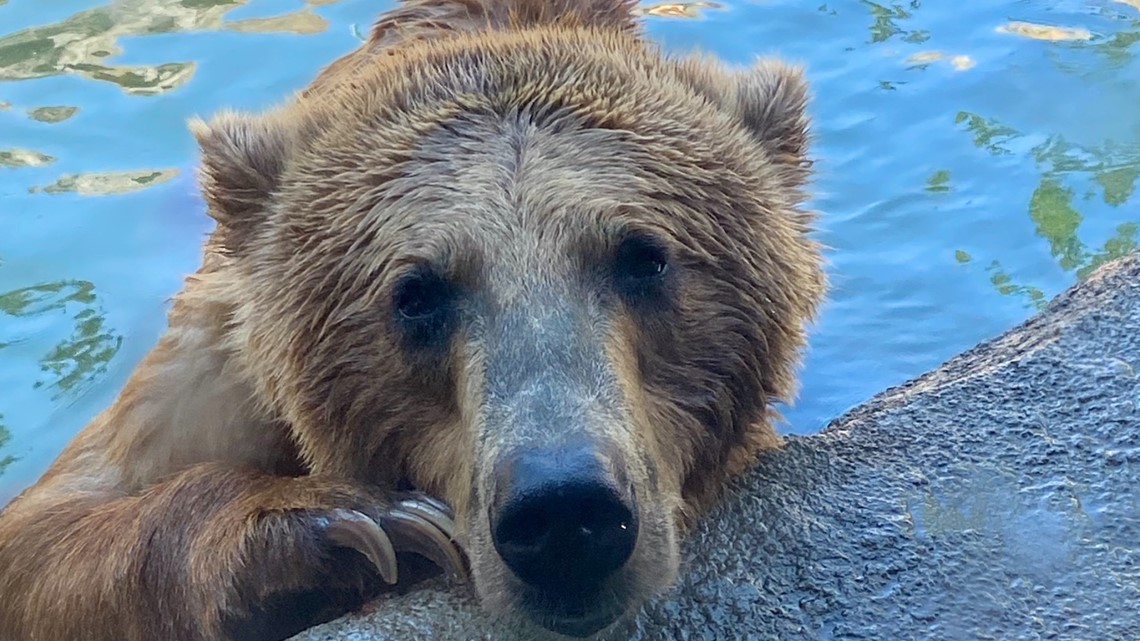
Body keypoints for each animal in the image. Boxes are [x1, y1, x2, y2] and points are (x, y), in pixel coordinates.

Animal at [0, 0, 826, 639]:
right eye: (416, 292)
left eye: (643, 257)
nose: (564, 509)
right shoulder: (218, 362)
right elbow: (49, 530)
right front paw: (355, 525)